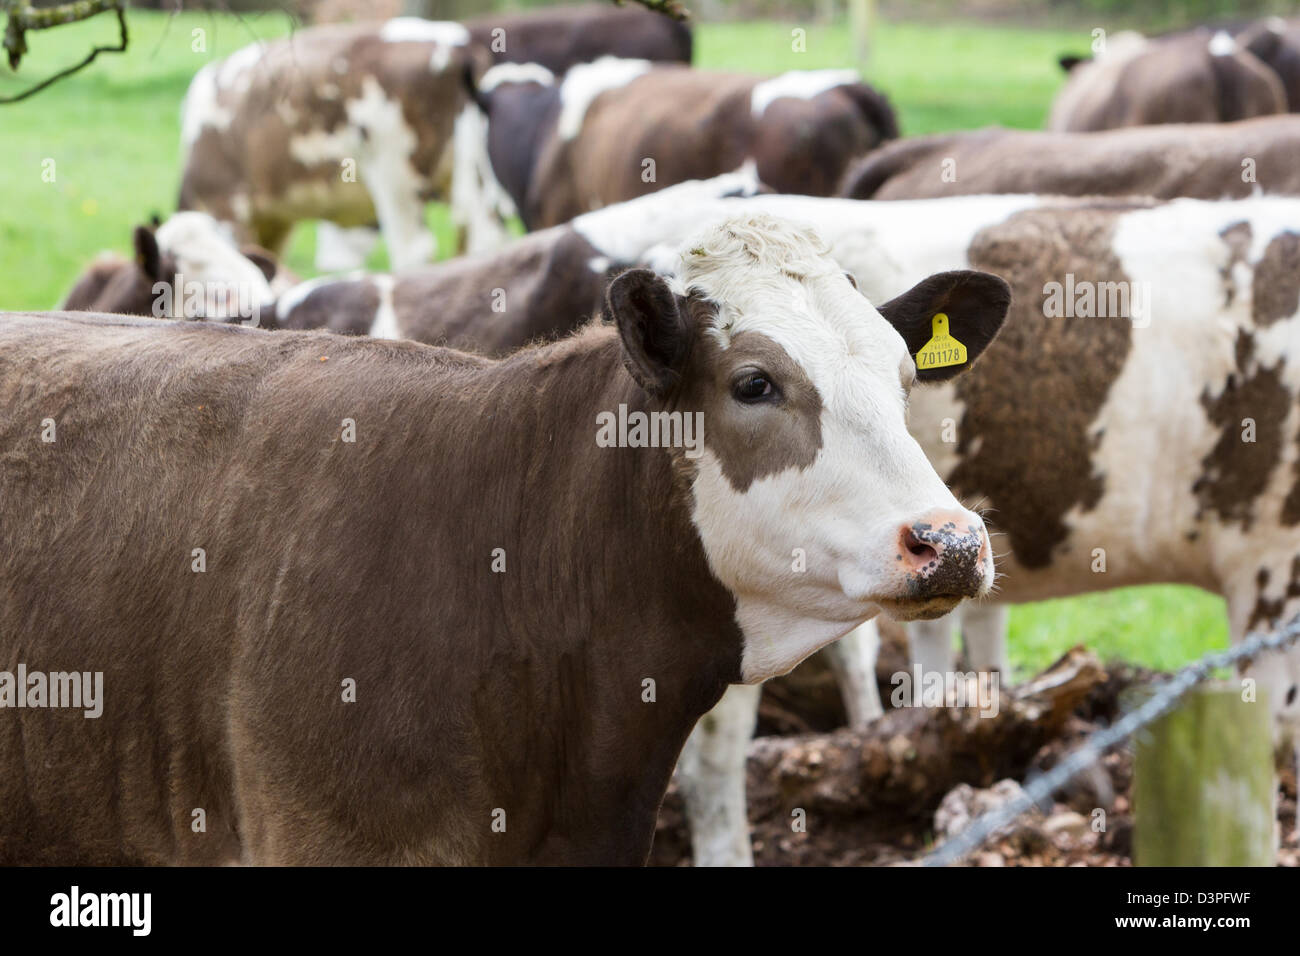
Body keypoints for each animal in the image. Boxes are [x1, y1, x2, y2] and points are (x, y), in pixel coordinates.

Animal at [178, 19, 494, 273]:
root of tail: (459, 48)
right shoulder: (273, 224)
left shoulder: (226, 206)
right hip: (469, 177)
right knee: (478, 239)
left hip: (395, 177)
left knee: (413, 248)